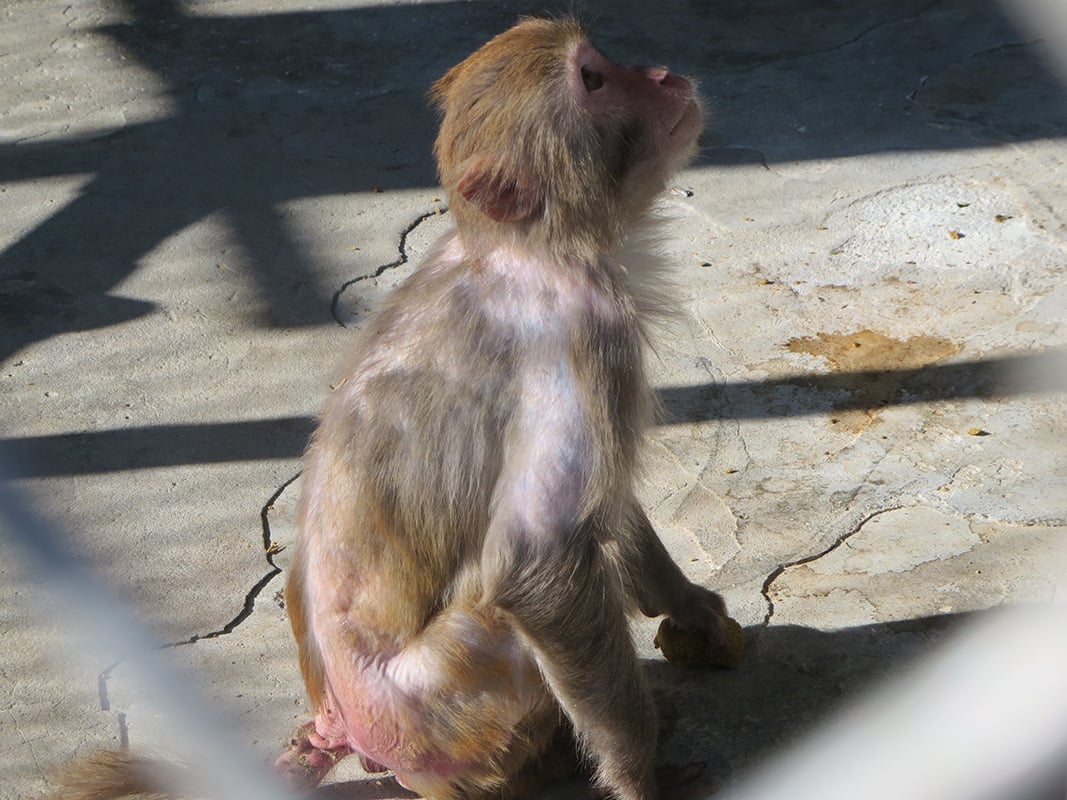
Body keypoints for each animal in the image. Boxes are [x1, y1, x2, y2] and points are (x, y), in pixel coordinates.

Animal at [44, 17, 739, 800]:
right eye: (592, 79)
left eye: (604, 59)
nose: (659, 75)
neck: (532, 249)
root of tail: (340, 721)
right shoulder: (585, 341)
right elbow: (539, 562)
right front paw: (637, 776)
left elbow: (606, 510)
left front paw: (687, 605)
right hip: (453, 700)